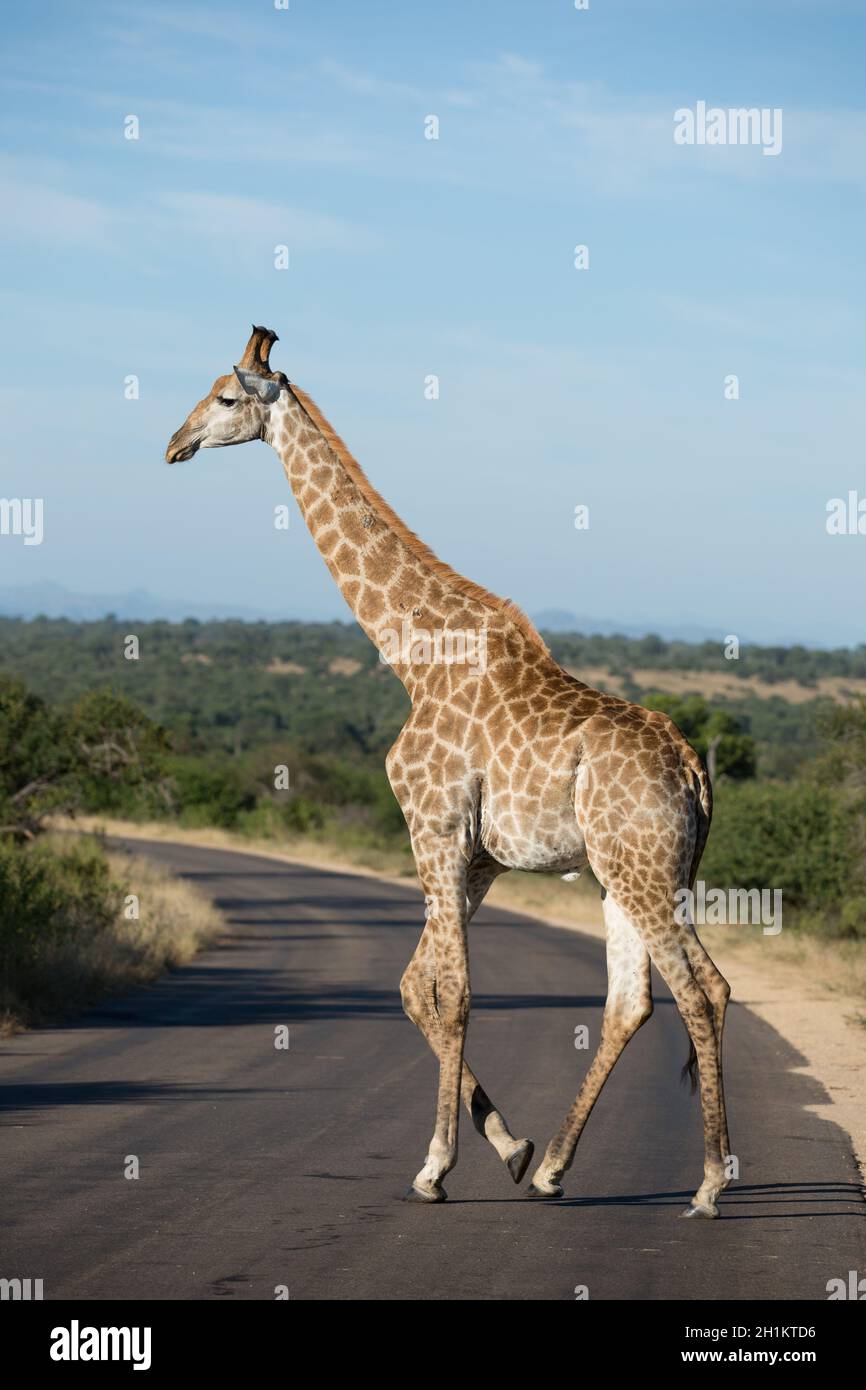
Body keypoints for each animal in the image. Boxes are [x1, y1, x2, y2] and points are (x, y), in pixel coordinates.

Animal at [166, 326, 731, 1217]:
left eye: (225, 397)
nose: (174, 444)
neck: (413, 656)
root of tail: (692, 770)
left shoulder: (430, 824)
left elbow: (451, 993)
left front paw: (436, 1167)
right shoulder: (479, 855)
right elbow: (410, 986)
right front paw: (511, 1147)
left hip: (642, 870)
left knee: (699, 991)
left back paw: (708, 1183)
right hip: (627, 872)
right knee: (636, 1000)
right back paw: (554, 1168)